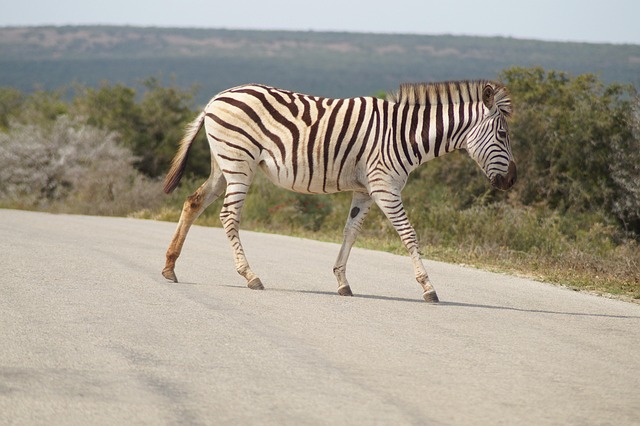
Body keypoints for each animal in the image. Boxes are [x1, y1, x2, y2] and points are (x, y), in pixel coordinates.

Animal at [161, 80, 515, 303]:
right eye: (502, 134)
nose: (512, 180)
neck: (406, 134)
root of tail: (215, 99)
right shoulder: (385, 186)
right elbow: (409, 234)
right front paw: (428, 287)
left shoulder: (366, 191)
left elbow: (350, 232)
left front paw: (342, 282)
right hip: (239, 161)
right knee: (228, 215)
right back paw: (250, 275)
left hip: (224, 164)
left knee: (193, 203)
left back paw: (170, 268)